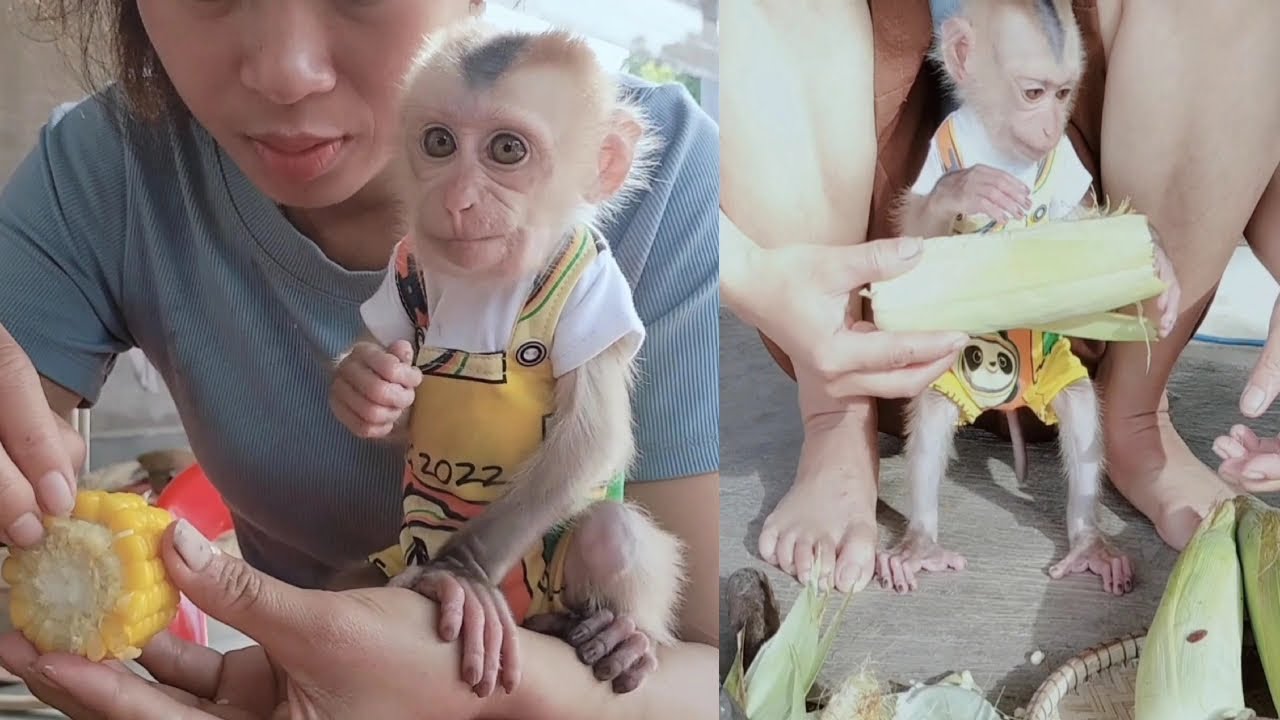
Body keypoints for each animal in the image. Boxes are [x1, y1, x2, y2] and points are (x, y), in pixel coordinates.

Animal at [327, 24, 685, 698]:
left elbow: (590, 444)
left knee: (611, 532)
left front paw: (458, 572)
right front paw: (366, 387)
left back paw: (621, 636)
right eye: (439, 142)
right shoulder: (403, 267)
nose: (457, 199)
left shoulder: (597, 294)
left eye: (507, 151)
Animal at [875, 0, 1181, 597]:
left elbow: (1080, 214)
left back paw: (1088, 543)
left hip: (1056, 373)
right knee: (930, 422)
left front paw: (1160, 265)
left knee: (1083, 413)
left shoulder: (1067, 170)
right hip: (953, 381)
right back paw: (921, 542)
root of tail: (1008, 404)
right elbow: (915, 229)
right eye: (1033, 93)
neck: (1004, 147)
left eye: (1065, 94)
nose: (1049, 126)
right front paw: (967, 189)